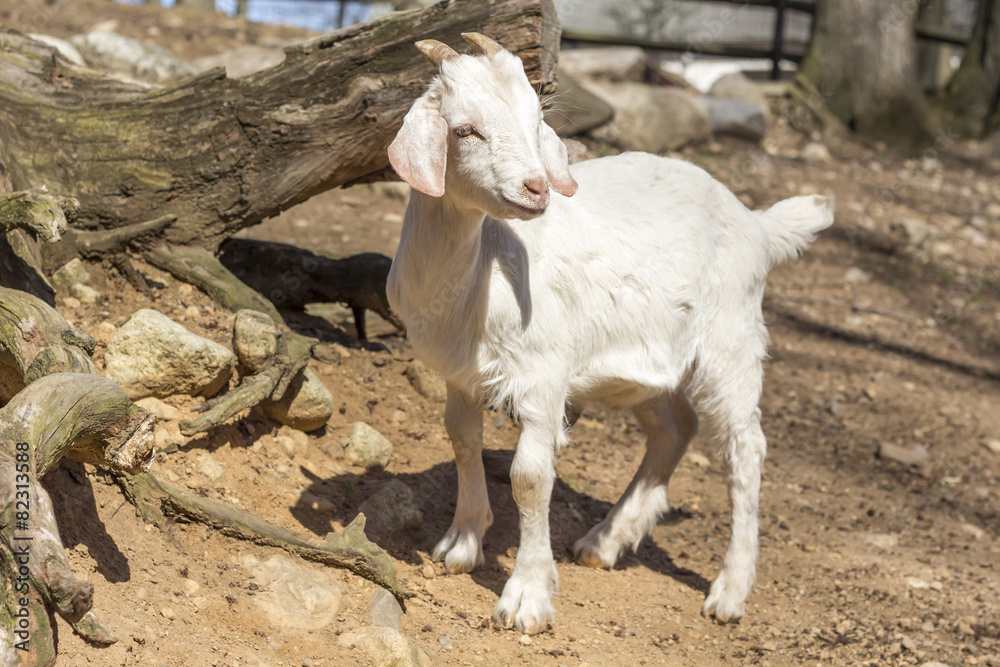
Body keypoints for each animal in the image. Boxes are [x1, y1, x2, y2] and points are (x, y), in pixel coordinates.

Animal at [386, 33, 834, 635]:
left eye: (535, 122)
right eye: (464, 130)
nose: (537, 189)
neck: (478, 272)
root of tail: (756, 223)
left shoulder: (544, 373)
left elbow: (530, 476)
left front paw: (526, 596)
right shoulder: (462, 374)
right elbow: (461, 439)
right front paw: (462, 542)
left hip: (731, 336)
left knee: (746, 448)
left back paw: (730, 590)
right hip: (648, 363)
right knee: (675, 427)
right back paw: (606, 541)